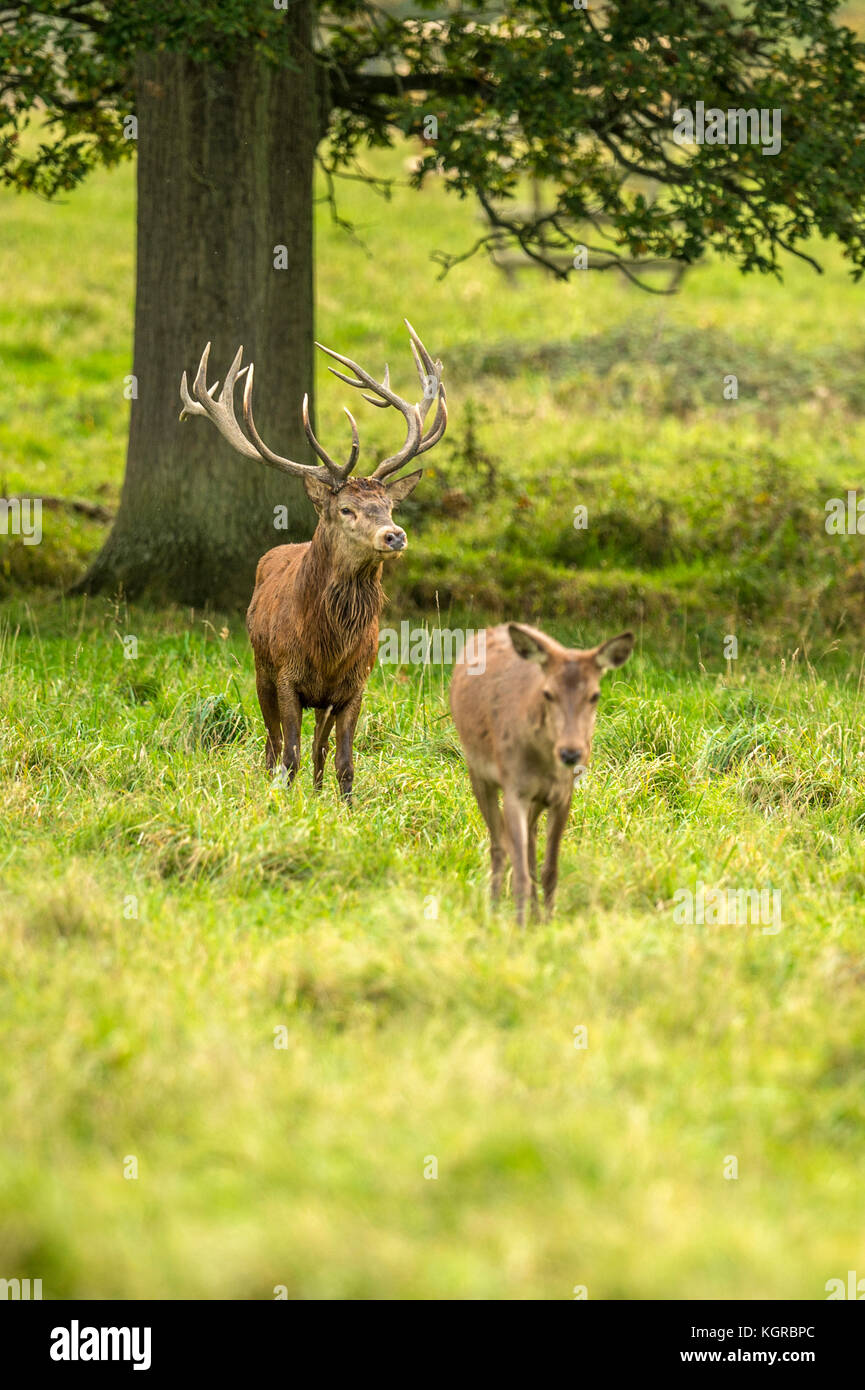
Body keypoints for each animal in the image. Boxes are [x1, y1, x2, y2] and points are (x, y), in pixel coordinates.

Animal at [179, 321, 447, 799]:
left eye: (389, 506)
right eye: (346, 509)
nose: (394, 534)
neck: (328, 647)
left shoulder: (356, 683)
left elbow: (343, 760)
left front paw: (344, 805)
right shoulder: (286, 677)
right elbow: (290, 754)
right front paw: (283, 800)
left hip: (321, 699)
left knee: (320, 749)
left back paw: (319, 791)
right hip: (260, 669)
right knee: (272, 745)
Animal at [450, 623, 634, 925]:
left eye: (595, 695)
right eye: (548, 693)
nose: (570, 753)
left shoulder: (563, 795)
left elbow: (550, 870)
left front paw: (547, 921)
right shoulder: (514, 789)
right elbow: (520, 872)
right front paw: (520, 926)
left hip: (536, 799)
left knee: (529, 842)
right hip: (477, 769)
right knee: (499, 845)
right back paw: (493, 909)